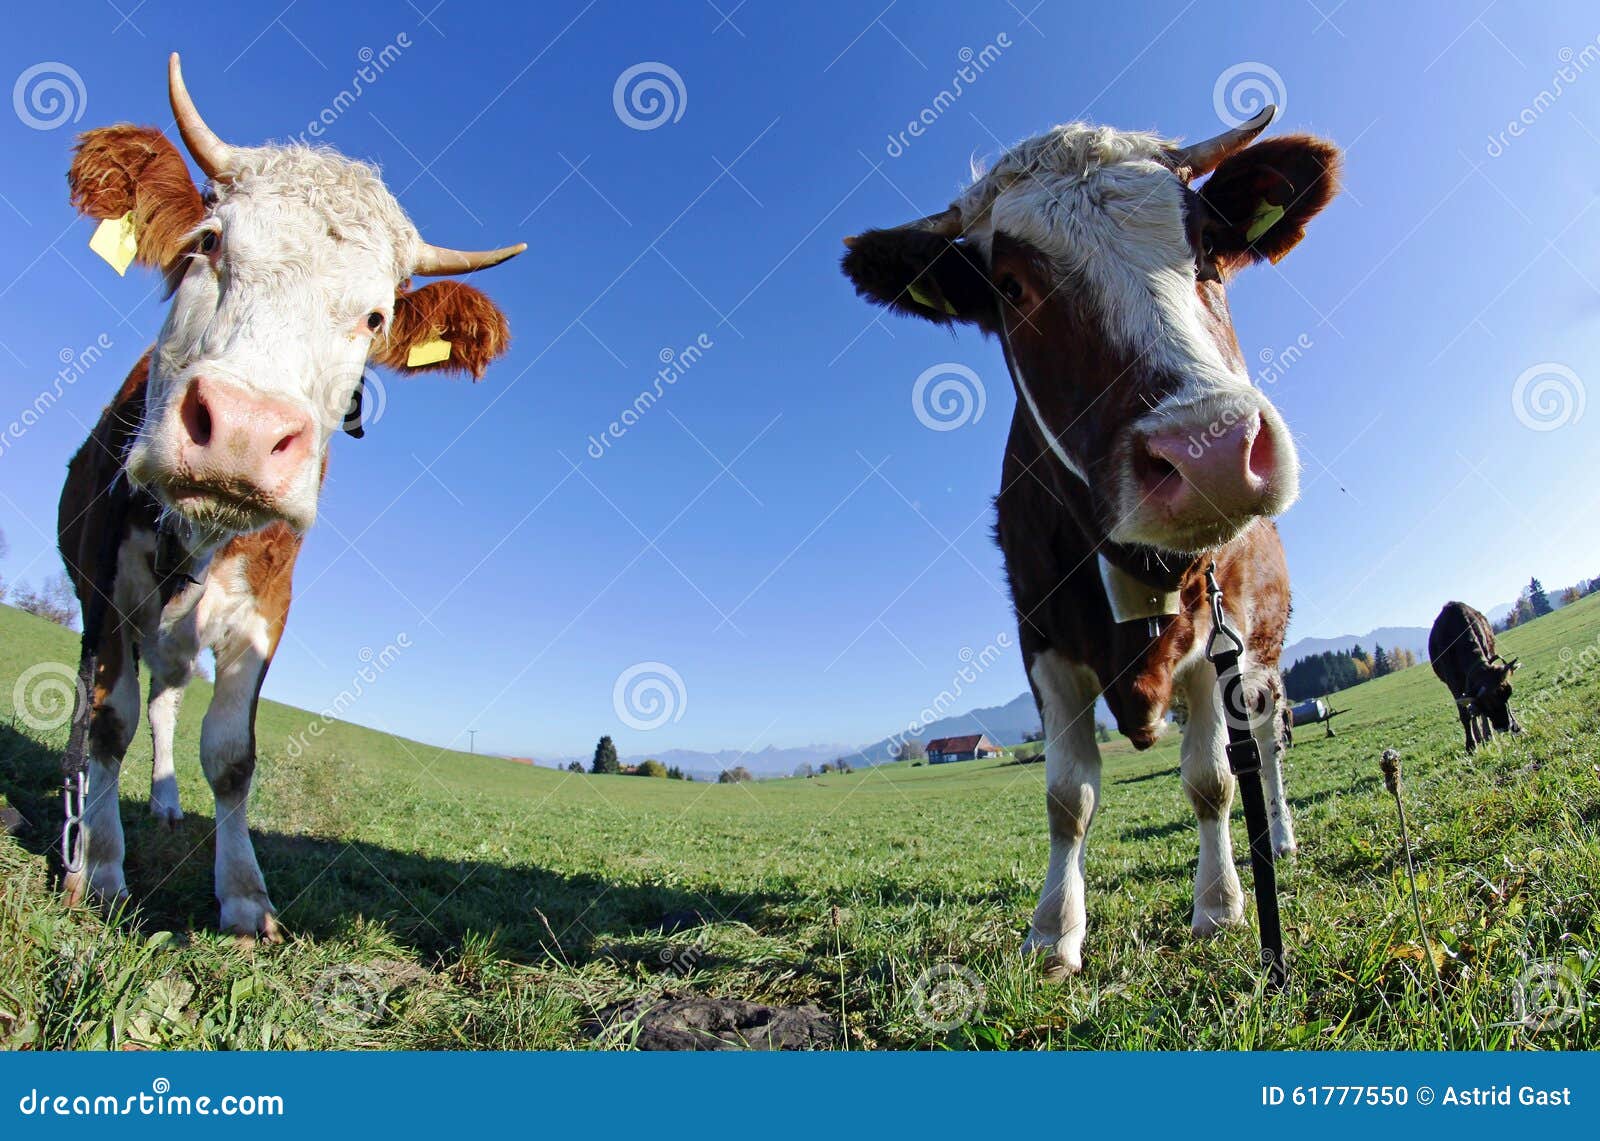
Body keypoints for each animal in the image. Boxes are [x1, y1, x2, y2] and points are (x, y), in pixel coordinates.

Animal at [56, 55, 524, 940]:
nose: (243, 429)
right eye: (209, 244)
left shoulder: (266, 608)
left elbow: (230, 755)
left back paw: (164, 801)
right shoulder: (104, 587)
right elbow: (106, 719)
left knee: (168, 701)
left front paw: (244, 894)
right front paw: (97, 865)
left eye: (375, 318)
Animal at [841, 106, 1340, 977]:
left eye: (1208, 243)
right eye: (1012, 287)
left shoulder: (1218, 641)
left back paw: (1275, 836)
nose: (1210, 452)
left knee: (1267, 743)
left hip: (1265, 656)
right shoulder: (1039, 638)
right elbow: (1067, 795)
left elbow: (1213, 778)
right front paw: (1054, 928)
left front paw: (1219, 903)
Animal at [1429, 601, 1520, 752]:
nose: (1506, 726)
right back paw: (1477, 738)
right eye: (1489, 702)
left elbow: (1478, 712)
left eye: (1508, 695)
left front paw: (1488, 735)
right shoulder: (1454, 684)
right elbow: (1466, 713)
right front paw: (1470, 745)